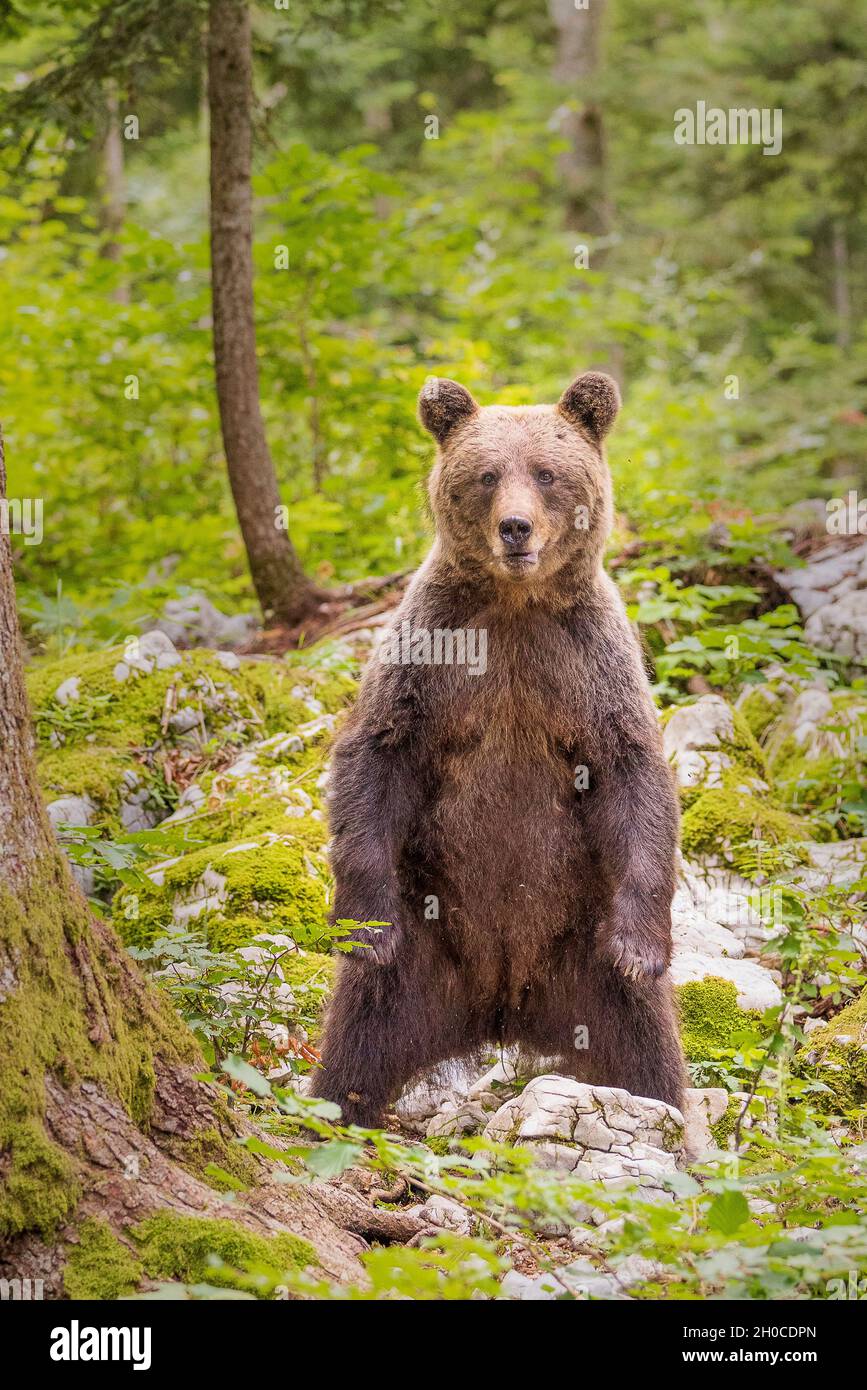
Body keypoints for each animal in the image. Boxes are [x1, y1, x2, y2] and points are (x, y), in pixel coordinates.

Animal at [312, 371, 685, 1127]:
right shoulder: (431, 652)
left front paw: (640, 947)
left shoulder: (588, 664)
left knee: (644, 1045)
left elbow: (633, 773)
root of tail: (501, 1006)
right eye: (487, 474)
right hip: (424, 945)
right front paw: (366, 927)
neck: (516, 605)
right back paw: (331, 1110)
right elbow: (376, 753)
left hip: (584, 950)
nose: (515, 527)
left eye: (545, 472)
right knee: (361, 1031)